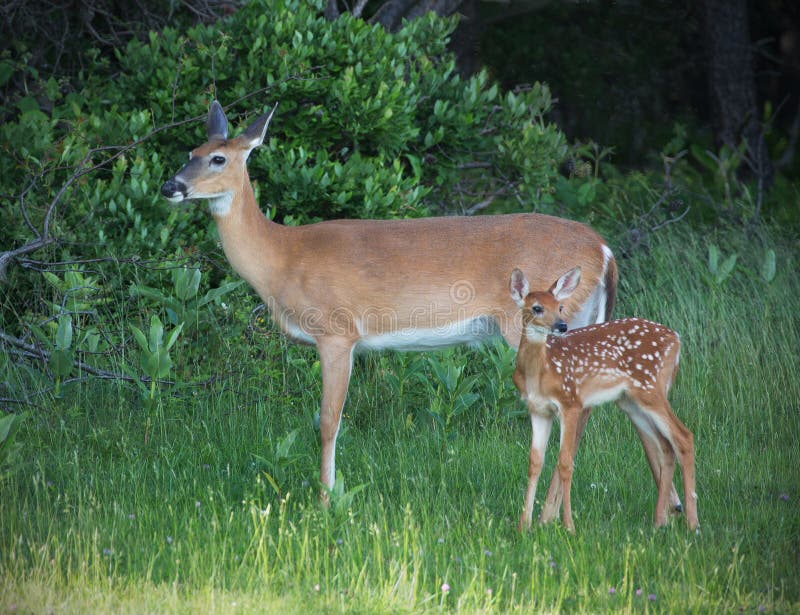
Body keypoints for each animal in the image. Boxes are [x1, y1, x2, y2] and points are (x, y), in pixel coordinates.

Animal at [160, 100, 678, 510]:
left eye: (218, 158)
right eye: (189, 154)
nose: (170, 187)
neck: (282, 258)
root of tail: (605, 251)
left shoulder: (337, 332)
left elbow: (328, 422)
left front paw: (325, 501)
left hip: (543, 323)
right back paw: (667, 507)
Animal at [509, 266, 698, 532]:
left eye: (560, 306)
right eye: (537, 308)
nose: (561, 326)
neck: (539, 373)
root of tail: (677, 339)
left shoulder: (571, 401)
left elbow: (565, 462)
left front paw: (569, 526)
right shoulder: (538, 410)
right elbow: (534, 462)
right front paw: (523, 526)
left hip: (650, 388)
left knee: (683, 437)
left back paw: (692, 523)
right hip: (631, 401)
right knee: (665, 445)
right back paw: (659, 521)